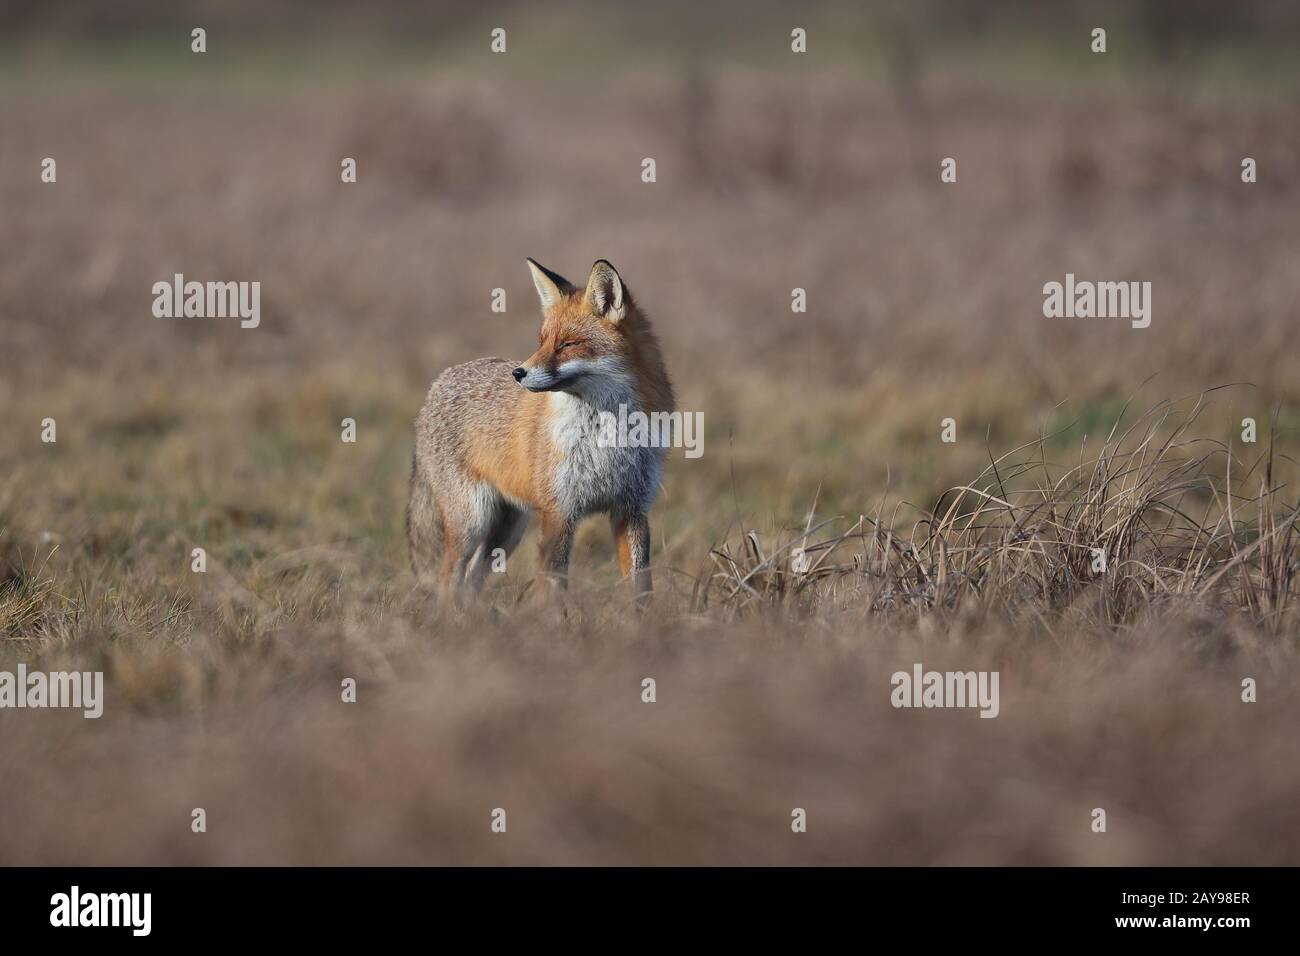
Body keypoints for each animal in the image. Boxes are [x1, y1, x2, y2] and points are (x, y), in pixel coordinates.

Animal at [407, 258, 675, 600]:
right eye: (542, 341)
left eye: (568, 344)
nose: (518, 373)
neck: (606, 438)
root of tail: (439, 382)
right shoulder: (558, 513)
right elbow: (553, 590)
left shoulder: (631, 510)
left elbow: (641, 590)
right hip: (472, 522)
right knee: (449, 580)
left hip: (506, 530)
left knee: (471, 578)